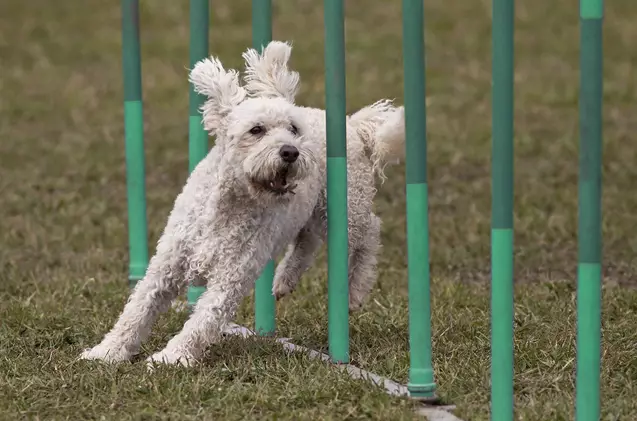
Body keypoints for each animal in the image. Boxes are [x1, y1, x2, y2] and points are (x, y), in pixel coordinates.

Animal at [80, 41, 402, 366]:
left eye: (293, 129)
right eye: (256, 130)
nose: (291, 152)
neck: (228, 207)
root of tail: (352, 125)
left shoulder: (232, 276)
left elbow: (202, 321)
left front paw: (171, 357)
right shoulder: (167, 265)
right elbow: (137, 309)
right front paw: (106, 351)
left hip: (346, 205)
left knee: (370, 233)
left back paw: (355, 291)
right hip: (313, 209)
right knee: (308, 240)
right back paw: (284, 279)